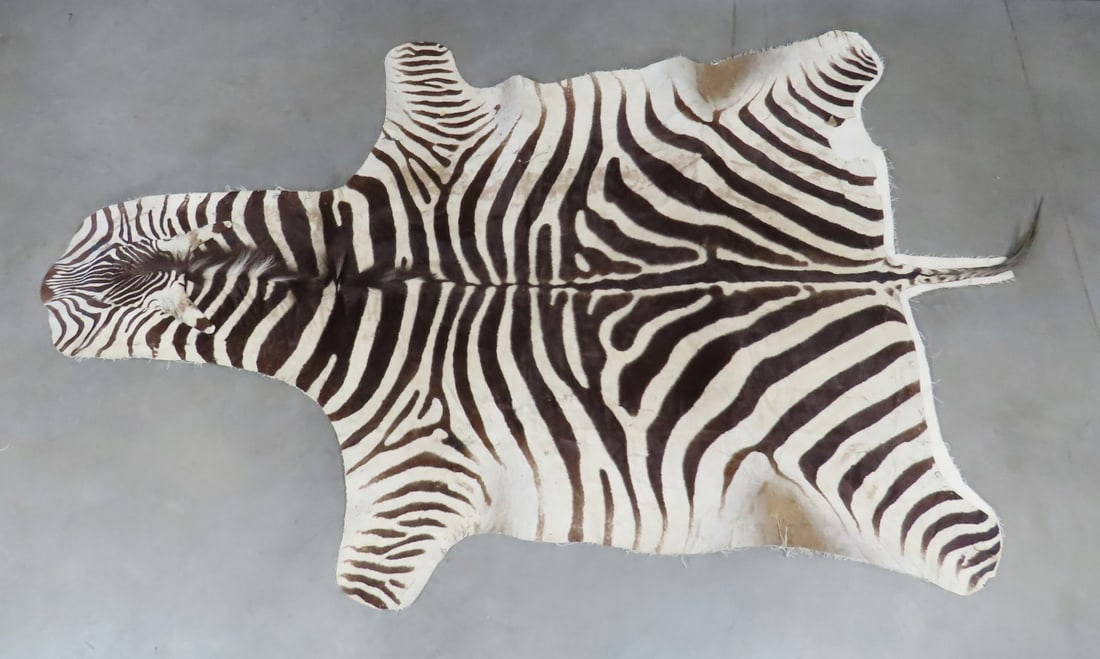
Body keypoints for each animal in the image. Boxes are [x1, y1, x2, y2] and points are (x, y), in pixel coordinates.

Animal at [41, 31, 1030, 609]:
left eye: (85, 302)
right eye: (89, 237)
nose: (40, 288)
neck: (331, 274)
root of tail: (869, 263)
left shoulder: (413, 461)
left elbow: (370, 579)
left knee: (971, 547)